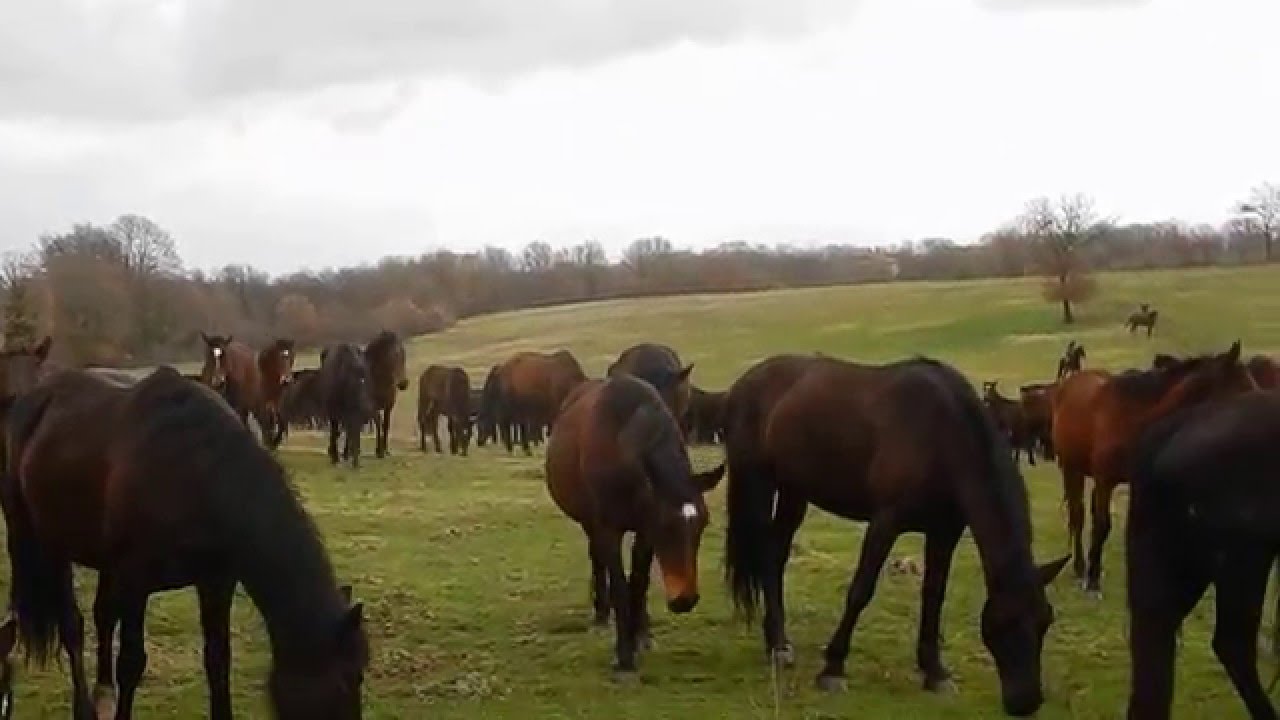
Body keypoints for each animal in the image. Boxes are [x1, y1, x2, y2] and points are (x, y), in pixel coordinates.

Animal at [0, 366, 367, 719]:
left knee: (102, 615)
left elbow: (218, 660)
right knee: (71, 627)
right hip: (50, 545)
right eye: (346, 682)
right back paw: (85, 708)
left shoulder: (216, 581)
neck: (196, 473)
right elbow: (131, 662)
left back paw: (103, 696)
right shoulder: (135, 580)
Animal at [545, 375, 724, 679]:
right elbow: (619, 585)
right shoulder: (609, 529)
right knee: (597, 561)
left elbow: (639, 581)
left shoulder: (645, 531)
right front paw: (624, 657)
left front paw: (638, 637)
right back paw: (601, 615)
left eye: (702, 524)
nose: (685, 600)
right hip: (590, 524)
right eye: (666, 526)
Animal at [722, 353, 1068, 716]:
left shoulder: (945, 532)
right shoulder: (885, 523)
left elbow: (934, 595)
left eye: (1045, 621)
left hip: (794, 490)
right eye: (1006, 622)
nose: (1026, 702)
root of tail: (744, 384)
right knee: (765, 555)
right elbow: (861, 591)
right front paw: (833, 668)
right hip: (758, 482)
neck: (943, 435)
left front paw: (935, 672)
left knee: (776, 556)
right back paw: (777, 645)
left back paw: (778, 642)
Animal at [1051, 341, 1254, 596]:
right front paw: (1093, 580)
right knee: (1077, 516)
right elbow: (1102, 525)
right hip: (1071, 468)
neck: (1132, 418)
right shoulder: (1104, 480)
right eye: (1243, 390)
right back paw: (1080, 567)